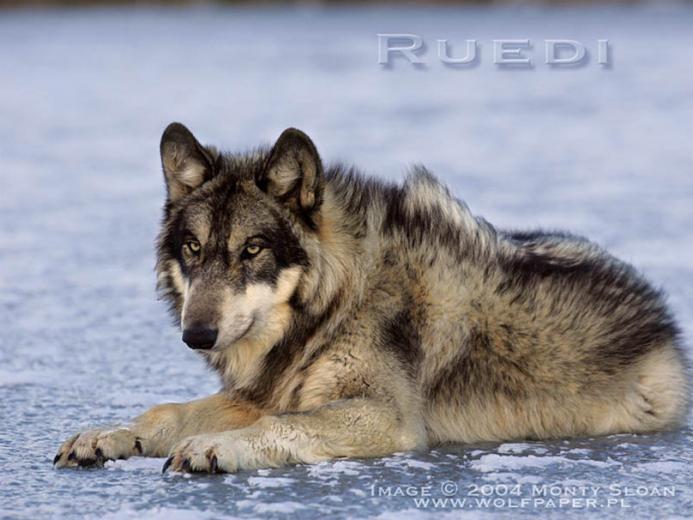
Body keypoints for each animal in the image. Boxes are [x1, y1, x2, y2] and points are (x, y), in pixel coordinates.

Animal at [54, 123, 689, 473]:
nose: (197, 335)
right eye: (192, 247)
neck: (338, 301)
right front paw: (106, 436)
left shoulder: (386, 417)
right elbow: (167, 412)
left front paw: (214, 446)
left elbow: (281, 425)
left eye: (252, 249)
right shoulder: (264, 391)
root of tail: (663, 320)